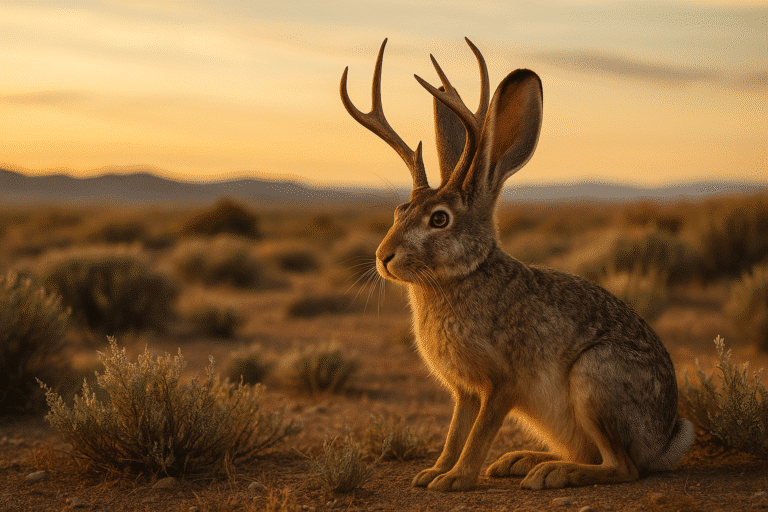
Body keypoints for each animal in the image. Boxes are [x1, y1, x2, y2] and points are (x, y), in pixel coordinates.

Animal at [340, 38, 694, 491]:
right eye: (400, 210)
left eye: (439, 219)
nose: (384, 257)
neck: (465, 275)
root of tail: (663, 442)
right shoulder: (465, 392)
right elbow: (456, 432)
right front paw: (433, 473)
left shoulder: (502, 384)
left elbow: (478, 434)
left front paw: (456, 480)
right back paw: (520, 461)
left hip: (595, 380)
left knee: (623, 467)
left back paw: (551, 473)